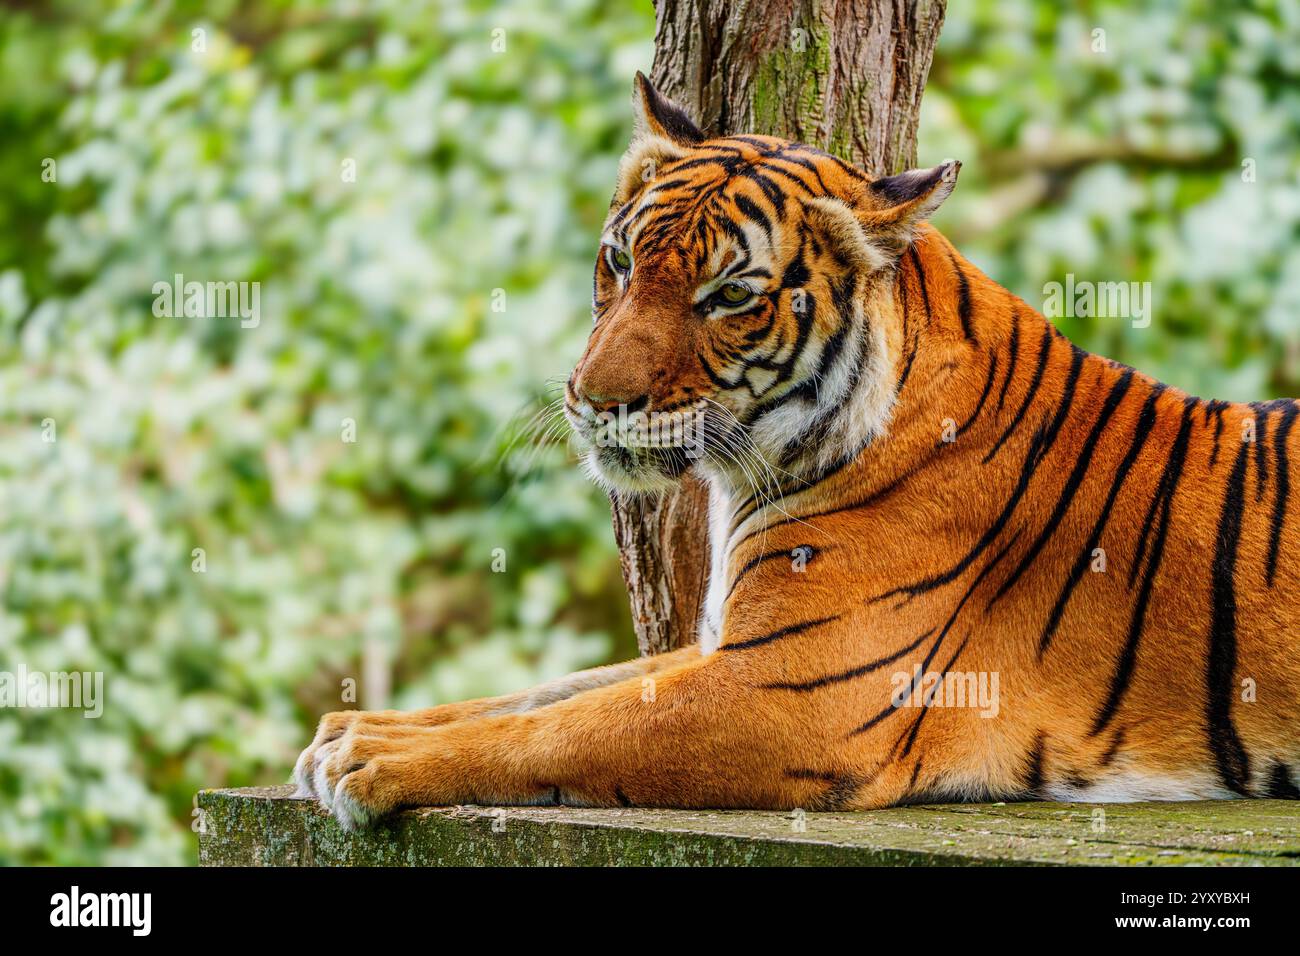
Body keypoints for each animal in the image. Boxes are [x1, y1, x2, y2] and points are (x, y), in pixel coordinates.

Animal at [294, 72, 1300, 830]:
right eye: (618, 261)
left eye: (731, 296)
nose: (593, 402)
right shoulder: (724, 645)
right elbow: (549, 691)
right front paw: (353, 731)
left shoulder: (789, 691)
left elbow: (565, 728)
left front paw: (371, 761)